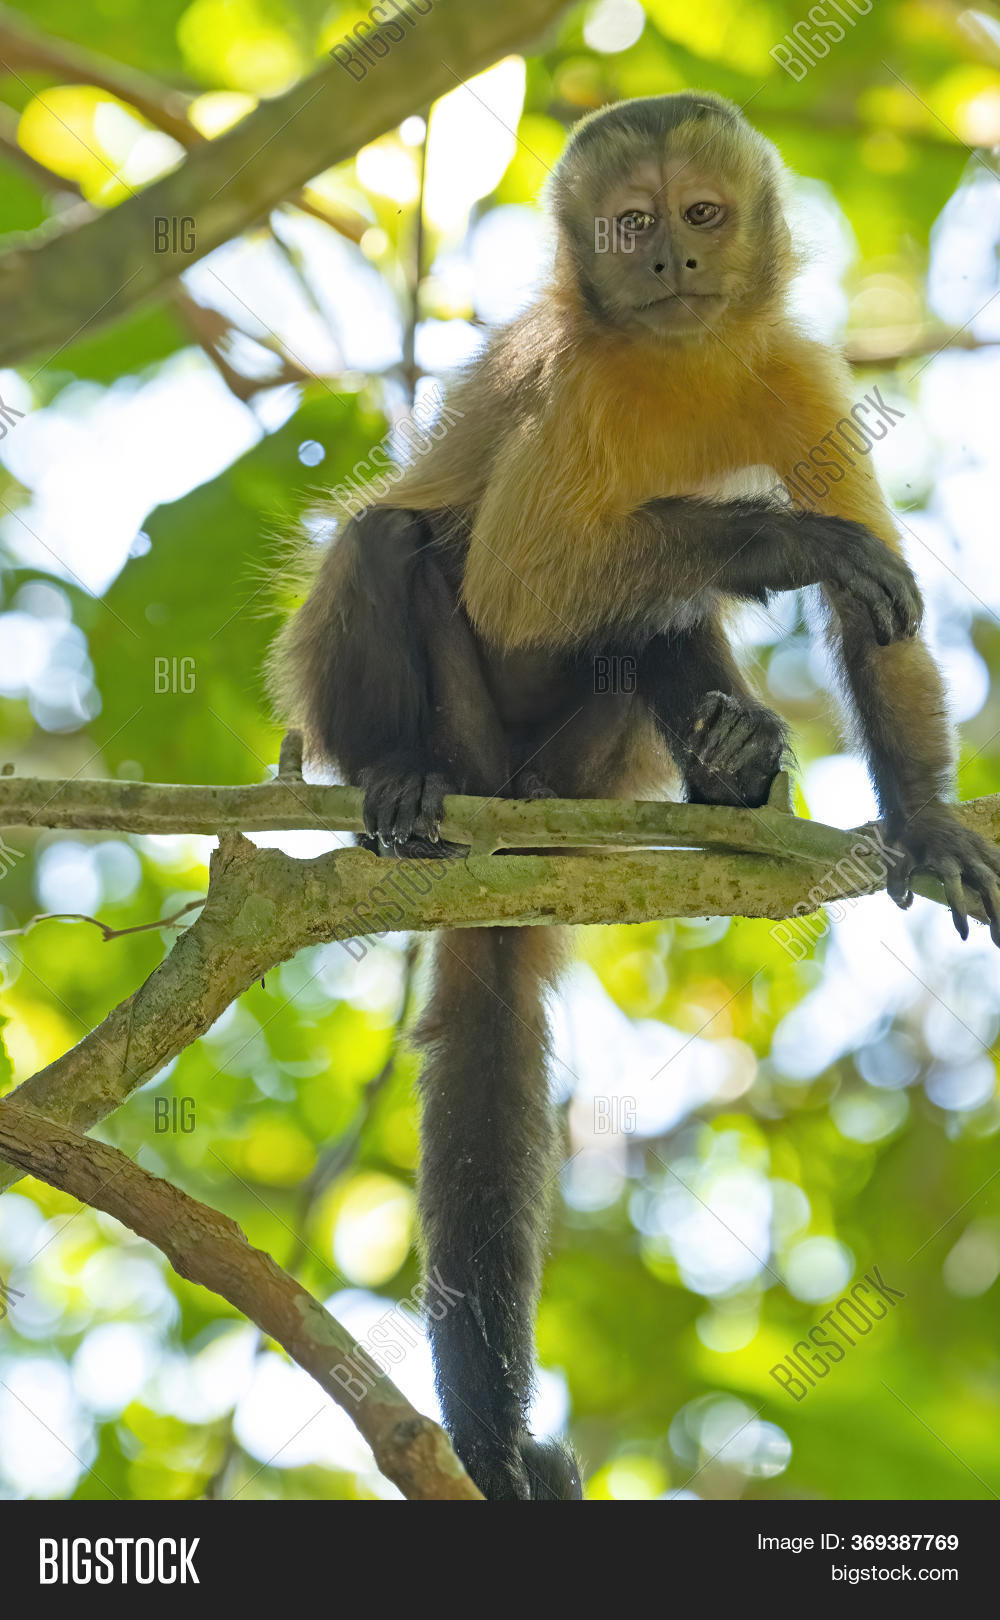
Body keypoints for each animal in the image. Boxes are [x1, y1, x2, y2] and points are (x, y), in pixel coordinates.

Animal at [270, 91, 1000, 1500]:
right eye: (628, 225)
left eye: (701, 214)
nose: (668, 259)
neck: (680, 363)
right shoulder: (579, 379)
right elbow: (519, 583)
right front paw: (781, 542)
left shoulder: (795, 373)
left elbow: (875, 629)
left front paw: (927, 822)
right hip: (454, 733)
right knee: (400, 542)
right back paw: (405, 781)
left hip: (591, 768)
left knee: (650, 623)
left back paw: (728, 762)